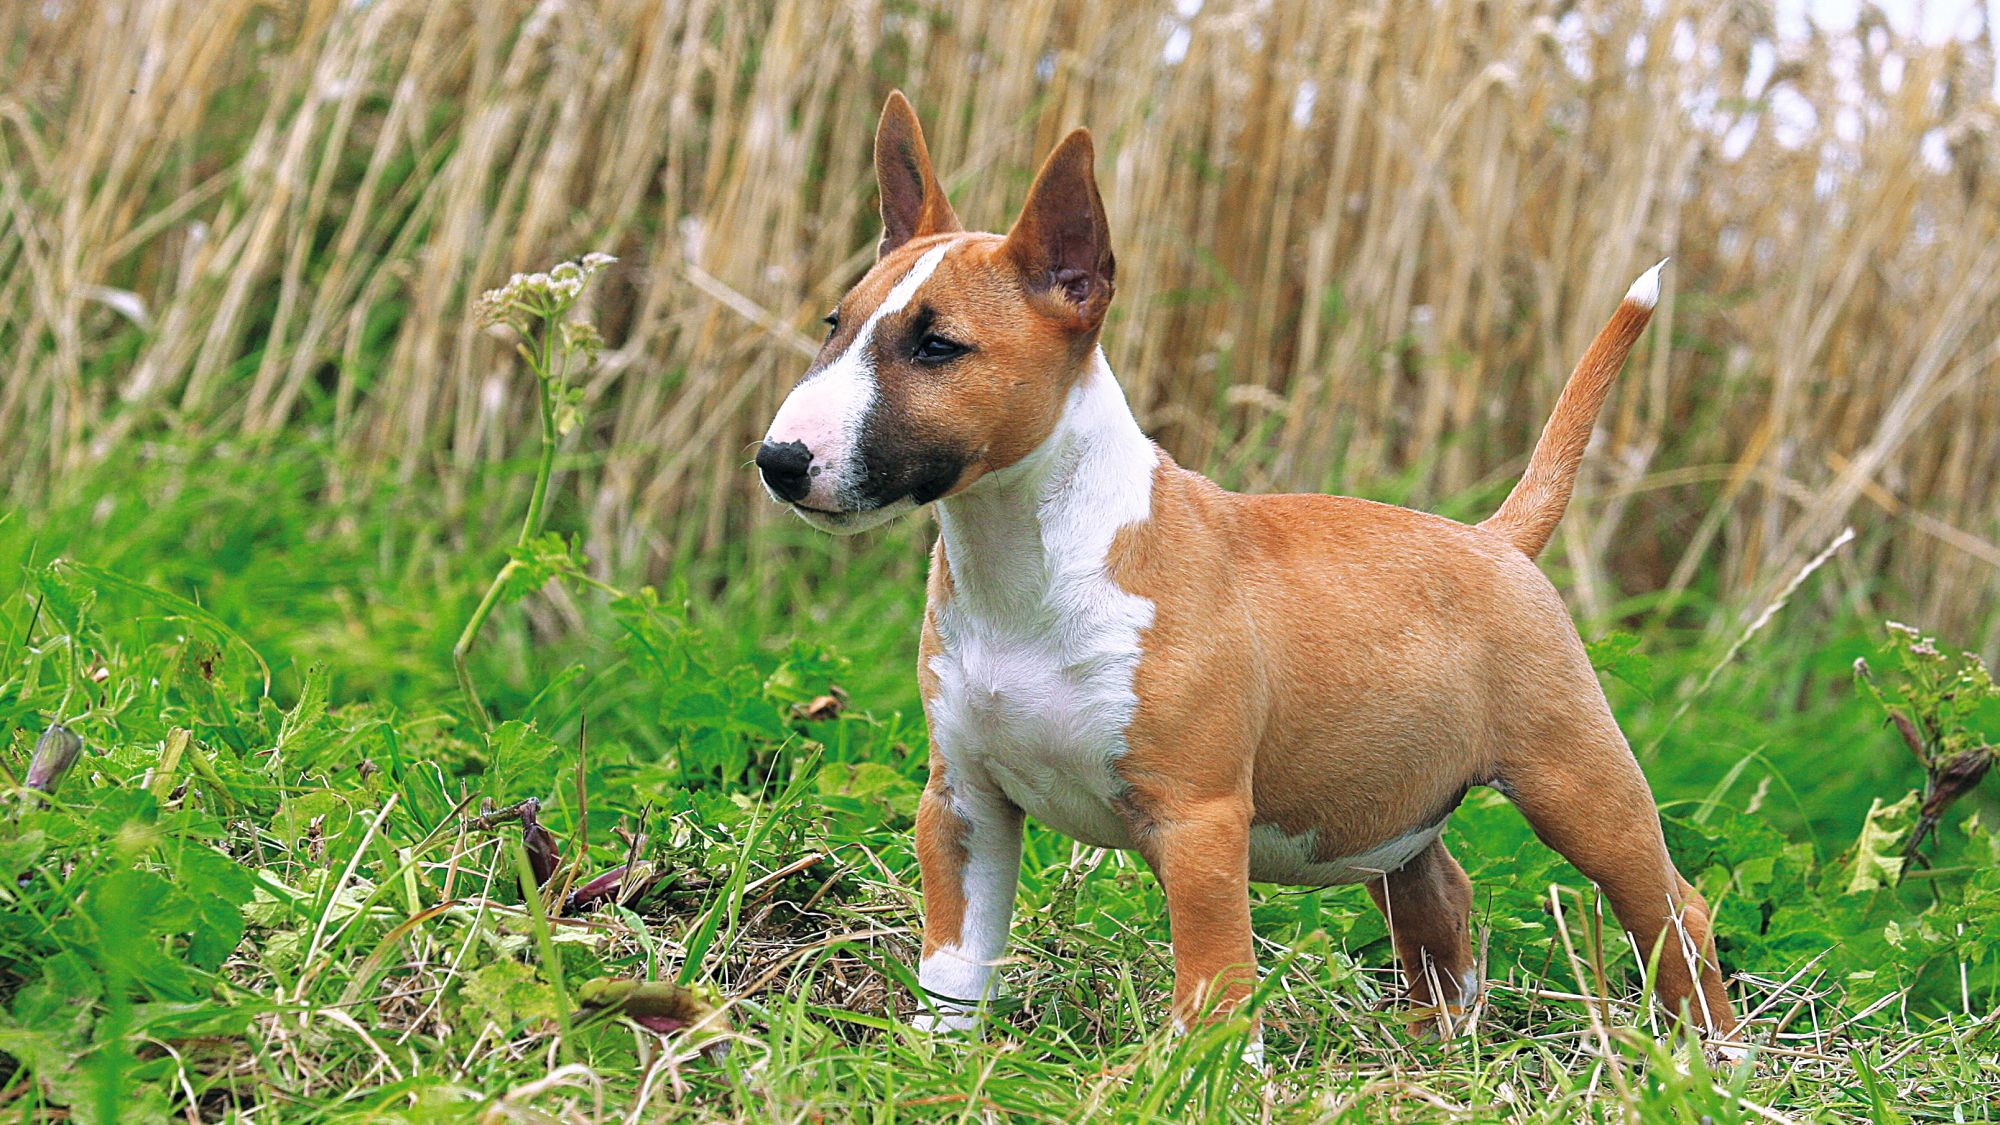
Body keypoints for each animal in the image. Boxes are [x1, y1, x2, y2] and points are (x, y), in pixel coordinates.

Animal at [756, 92, 1744, 1048]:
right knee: (1439, 892)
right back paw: (1434, 1045)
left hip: (1576, 777)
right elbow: (957, 961)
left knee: (1675, 906)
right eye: (835, 325)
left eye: (937, 346)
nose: (778, 460)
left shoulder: (1198, 819)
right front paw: (935, 1054)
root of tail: (1496, 538)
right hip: (1383, 795)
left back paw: (1715, 1058)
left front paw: (1207, 1073)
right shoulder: (962, 803)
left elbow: (1216, 978)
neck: (1027, 564)